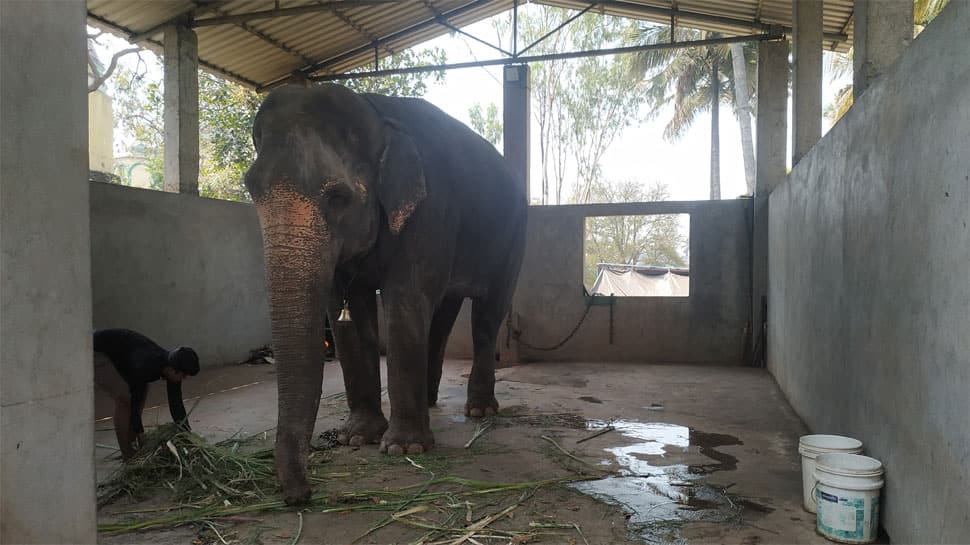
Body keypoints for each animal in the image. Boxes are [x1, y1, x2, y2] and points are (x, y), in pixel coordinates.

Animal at [244, 84, 527, 505]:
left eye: (338, 197)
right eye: (251, 189)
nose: (301, 495)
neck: (375, 115)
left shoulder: (431, 210)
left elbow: (405, 298)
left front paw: (403, 448)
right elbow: (346, 311)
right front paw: (356, 437)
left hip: (514, 236)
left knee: (486, 316)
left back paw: (480, 411)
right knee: (443, 315)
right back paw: (430, 400)